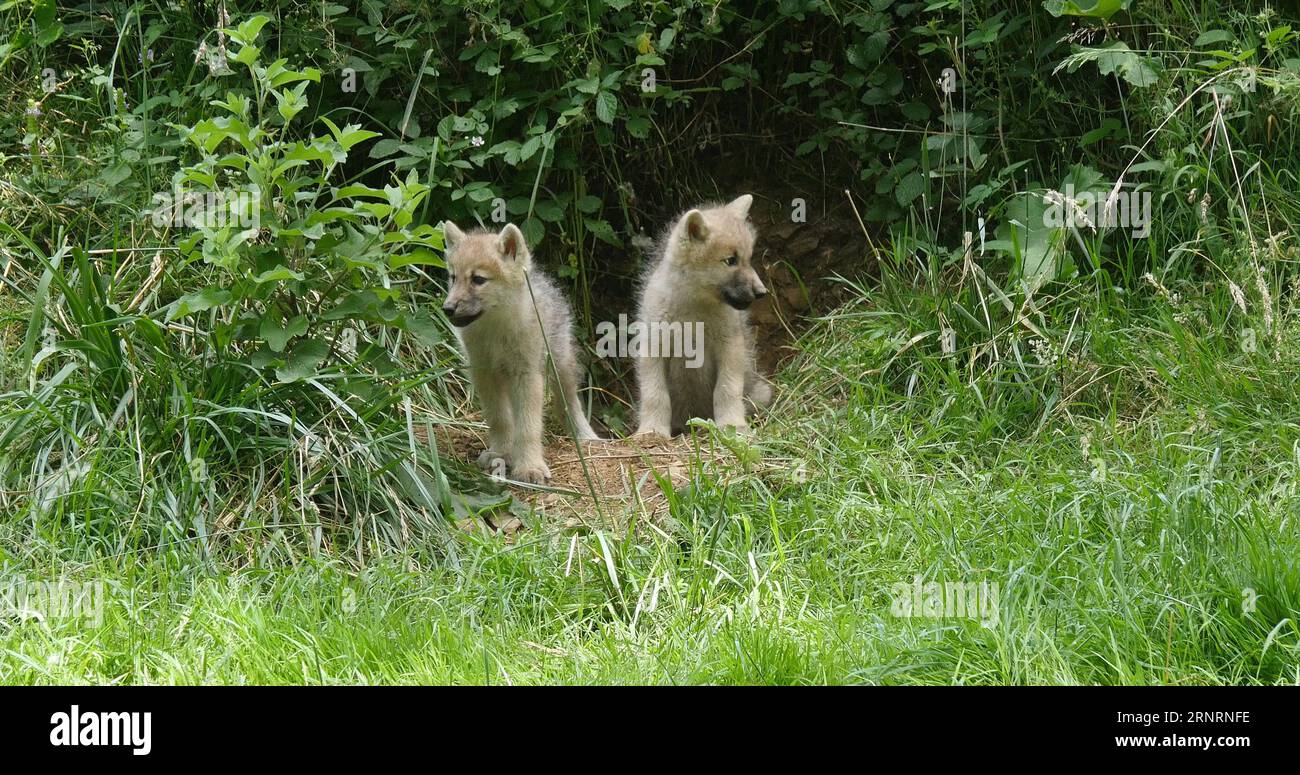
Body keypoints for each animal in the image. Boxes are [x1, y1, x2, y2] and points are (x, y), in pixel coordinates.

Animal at [441, 222, 599, 484]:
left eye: (478, 279)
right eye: (453, 278)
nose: (447, 308)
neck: (496, 330)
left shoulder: (527, 375)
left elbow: (528, 426)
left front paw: (529, 466)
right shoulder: (485, 374)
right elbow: (500, 419)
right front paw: (501, 453)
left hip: (561, 367)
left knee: (569, 404)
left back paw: (586, 436)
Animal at [634, 194, 772, 437]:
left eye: (748, 258)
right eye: (730, 260)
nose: (761, 292)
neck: (693, 306)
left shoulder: (730, 346)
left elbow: (727, 389)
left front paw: (732, 424)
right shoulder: (654, 347)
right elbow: (654, 394)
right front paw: (651, 430)